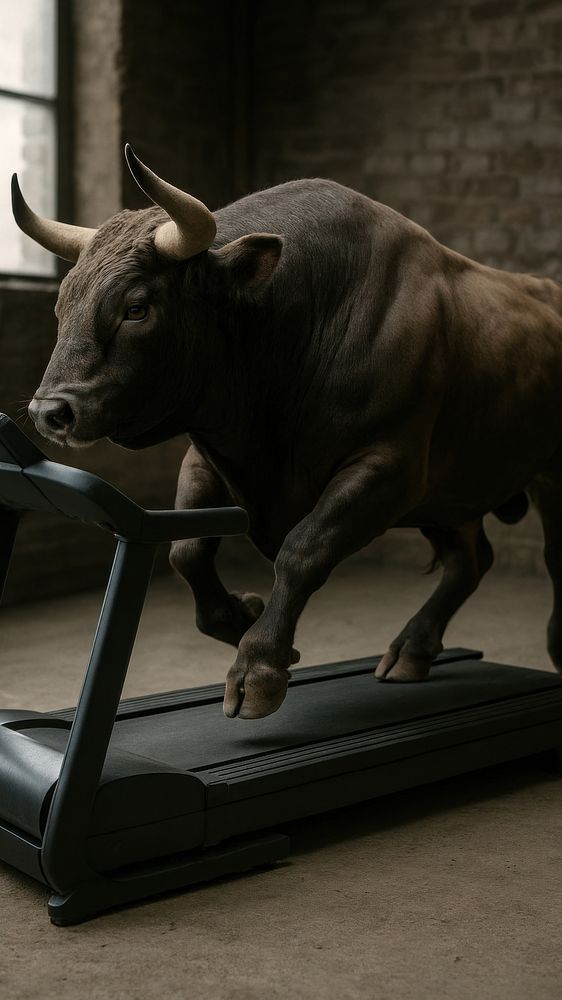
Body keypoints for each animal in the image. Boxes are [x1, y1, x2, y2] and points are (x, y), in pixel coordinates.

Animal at [11, 146, 562, 720]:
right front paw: (237, 618)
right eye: (60, 306)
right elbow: (186, 551)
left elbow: (303, 550)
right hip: (449, 491)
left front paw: (258, 666)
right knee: (469, 559)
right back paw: (414, 648)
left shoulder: (388, 468)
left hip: (543, 476)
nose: (51, 411)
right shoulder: (210, 456)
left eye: (136, 308)